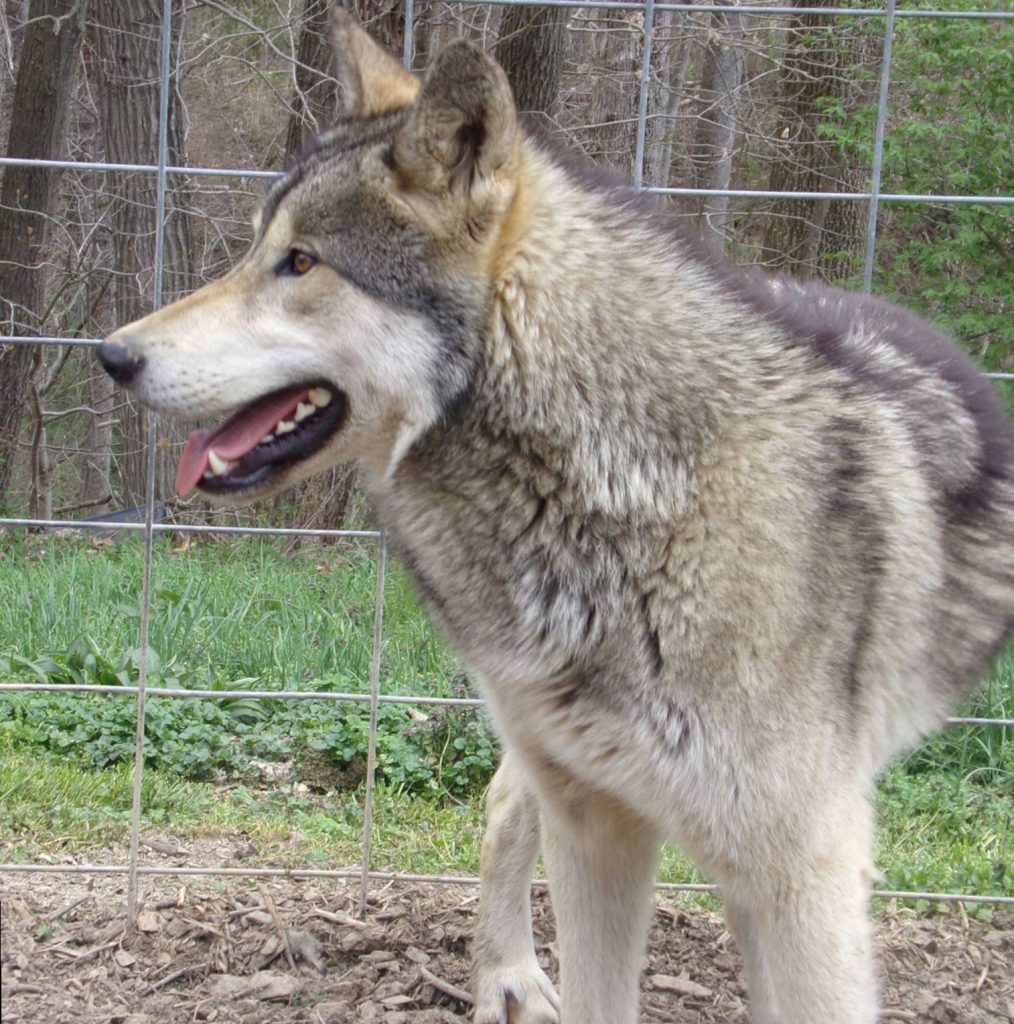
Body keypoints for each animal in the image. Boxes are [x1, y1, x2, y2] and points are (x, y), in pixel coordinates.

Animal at [98, 10, 1014, 1023]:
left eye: (298, 263)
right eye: (258, 250)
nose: (112, 355)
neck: (623, 498)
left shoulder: (803, 873)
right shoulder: (597, 826)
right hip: (554, 760)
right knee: (503, 809)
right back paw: (503, 976)